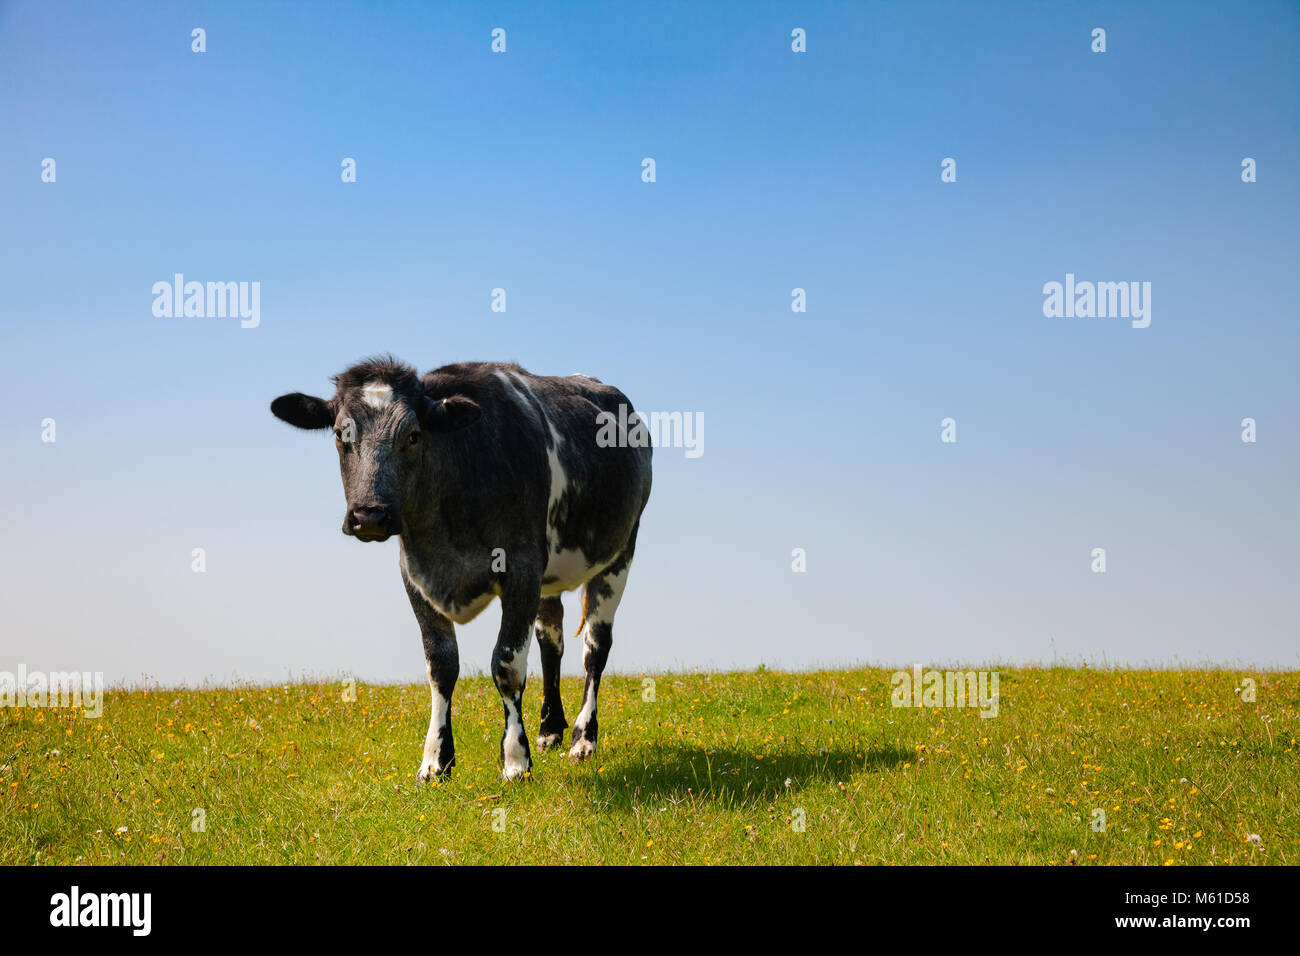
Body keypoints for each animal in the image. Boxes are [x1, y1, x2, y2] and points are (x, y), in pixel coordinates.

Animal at [270, 357, 652, 782]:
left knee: (595, 648)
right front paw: (435, 760)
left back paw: (583, 738)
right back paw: (550, 729)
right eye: (340, 434)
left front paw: (515, 760)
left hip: (620, 553)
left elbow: (506, 663)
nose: (369, 515)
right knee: (551, 642)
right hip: (551, 576)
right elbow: (441, 664)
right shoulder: (415, 576)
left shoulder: (522, 567)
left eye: (414, 435)